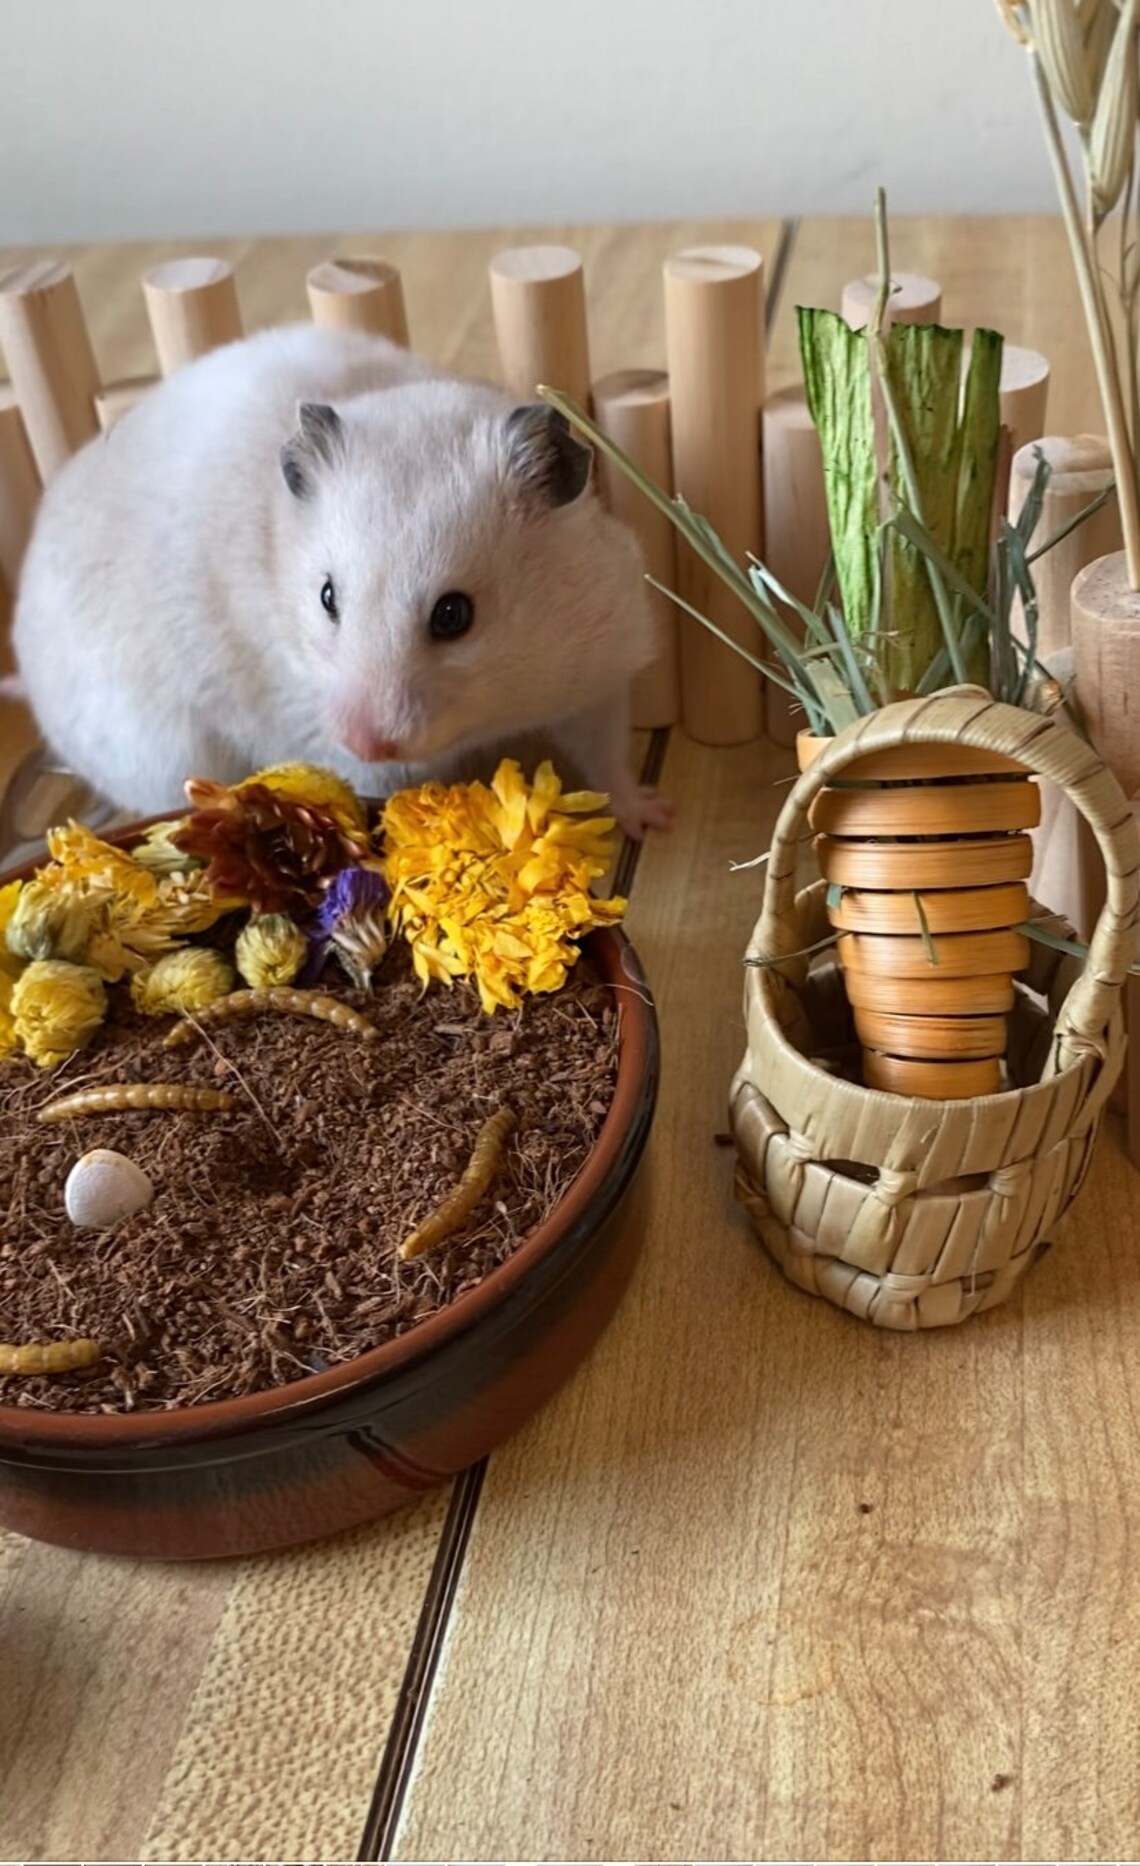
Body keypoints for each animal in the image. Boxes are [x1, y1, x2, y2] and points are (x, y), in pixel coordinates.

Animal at [12, 323, 672, 838]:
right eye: (327, 597)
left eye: (454, 615)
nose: (364, 741)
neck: (497, 702)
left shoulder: (594, 668)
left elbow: (606, 757)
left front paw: (654, 817)